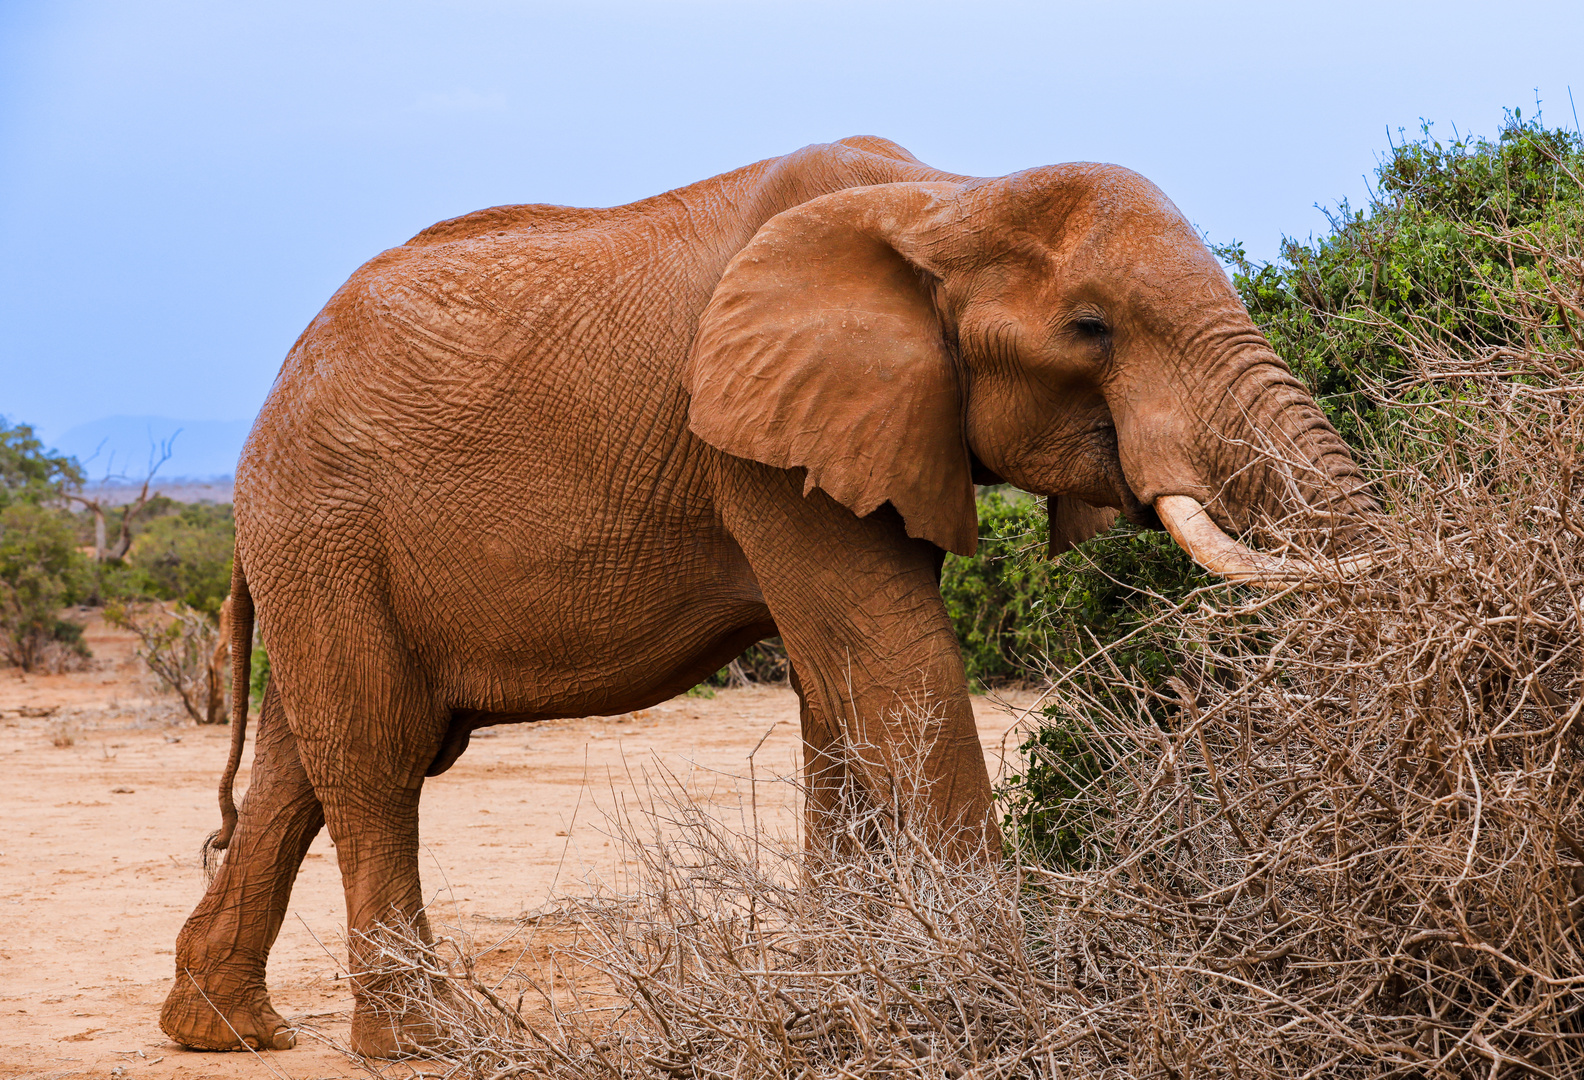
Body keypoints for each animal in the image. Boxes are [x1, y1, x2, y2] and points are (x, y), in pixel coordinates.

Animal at [158, 136, 1370, 1056]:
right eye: (1091, 328)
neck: (947, 193)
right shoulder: (754, 446)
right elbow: (895, 662)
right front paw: (1005, 1003)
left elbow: (840, 693)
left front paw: (847, 982)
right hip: (324, 523)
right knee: (375, 756)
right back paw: (428, 1043)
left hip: (319, 546)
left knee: (299, 762)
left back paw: (223, 1032)